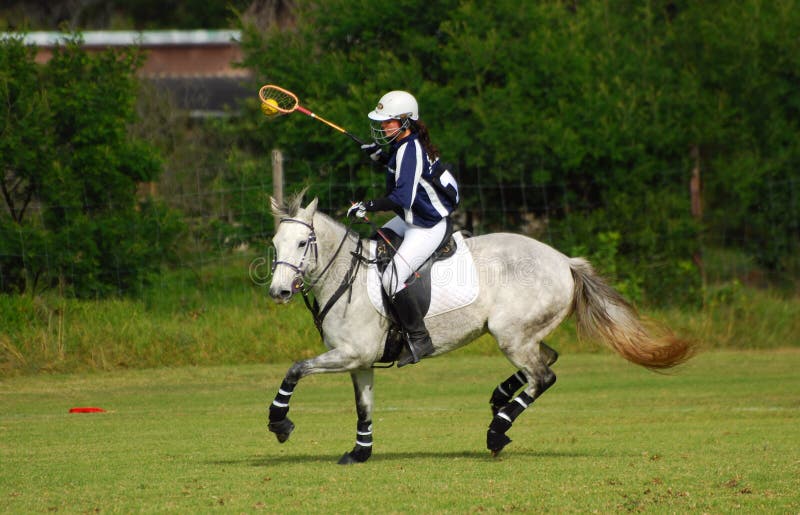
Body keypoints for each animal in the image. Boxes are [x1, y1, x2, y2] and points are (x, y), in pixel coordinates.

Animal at [265, 191, 695, 464]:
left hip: (510, 334)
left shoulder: (351, 354)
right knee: (547, 359)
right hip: (521, 333)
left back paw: (497, 429)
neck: (345, 276)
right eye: (275, 243)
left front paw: (279, 422)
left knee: (545, 375)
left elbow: (295, 368)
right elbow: (363, 407)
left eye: (303, 243)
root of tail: (564, 261)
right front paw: (360, 452)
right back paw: (501, 397)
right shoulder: (360, 361)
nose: (278, 291)